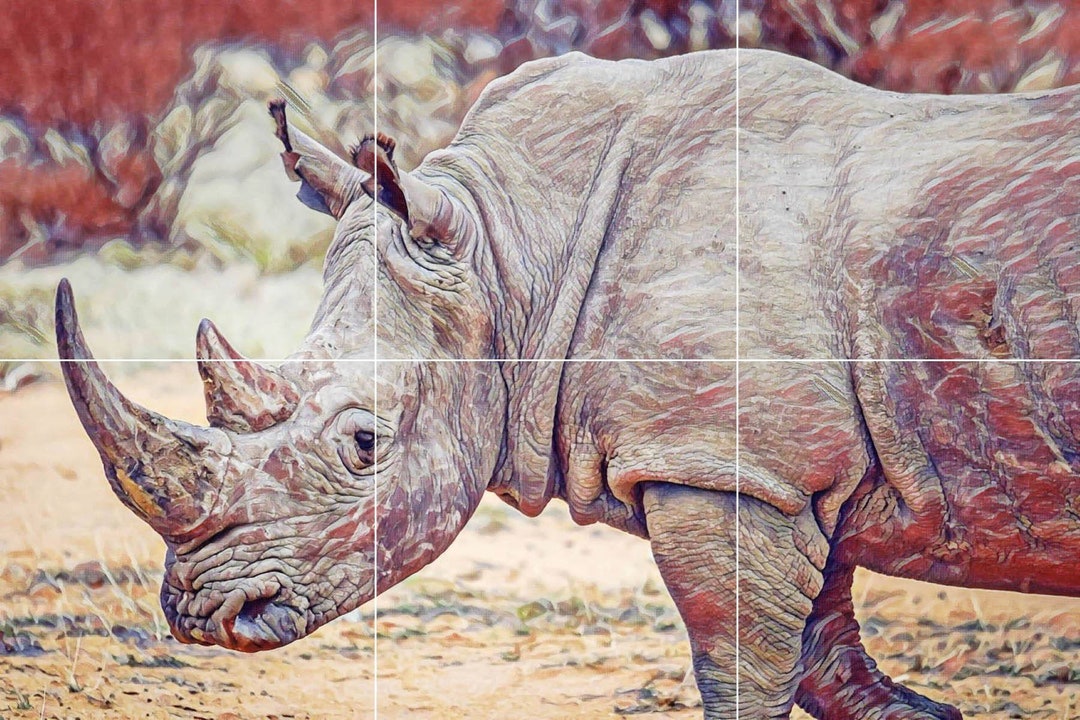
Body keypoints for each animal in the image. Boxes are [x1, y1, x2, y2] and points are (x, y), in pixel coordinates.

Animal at [55, 48, 1080, 719]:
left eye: (364, 444)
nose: (199, 615)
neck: (508, 250)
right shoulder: (770, 461)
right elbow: (818, 630)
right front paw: (920, 714)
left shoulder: (718, 461)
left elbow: (743, 662)